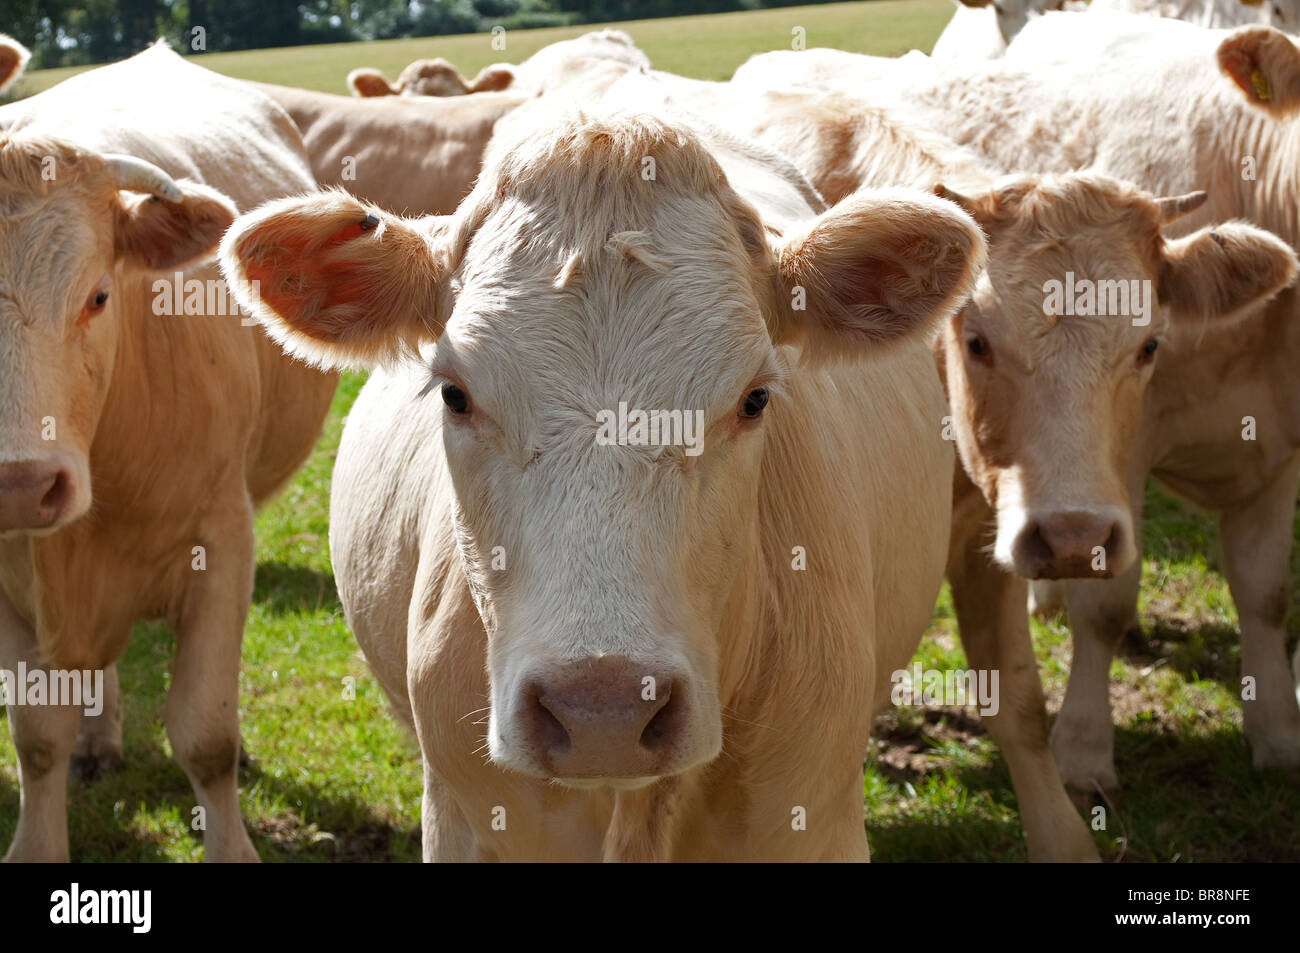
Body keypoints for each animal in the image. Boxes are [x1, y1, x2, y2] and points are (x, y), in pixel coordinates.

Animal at [651, 69, 1295, 852]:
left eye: (1148, 346)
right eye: (980, 340)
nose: (1075, 538)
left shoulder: (990, 531)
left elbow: (1017, 693)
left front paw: (1062, 837)